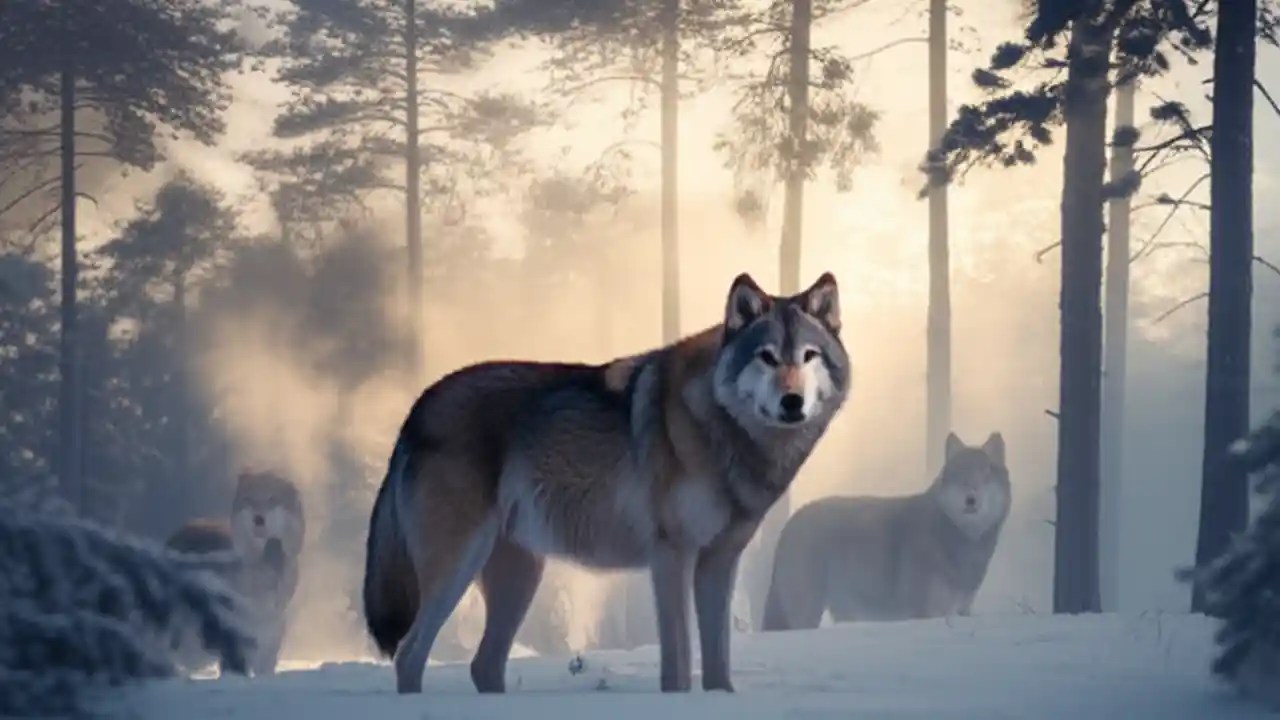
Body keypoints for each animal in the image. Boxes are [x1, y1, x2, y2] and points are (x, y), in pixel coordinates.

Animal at [363, 272, 849, 695]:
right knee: (410, 655)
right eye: (766, 356)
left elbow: (718, 666)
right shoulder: (671, 556)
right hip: (458, 568)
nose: (792, 401)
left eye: (809, 356)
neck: (721, 428)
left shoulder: (719, 562)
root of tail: (417, 406)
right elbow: (678, 664)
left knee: (484, 665)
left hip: (521, 575)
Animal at [762, 431, 1010, 631]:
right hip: (806, 613)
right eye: (959, 474)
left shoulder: (962, 610)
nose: (970, 499)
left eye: (986, 473)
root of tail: (791, 522)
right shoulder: (925, 613)